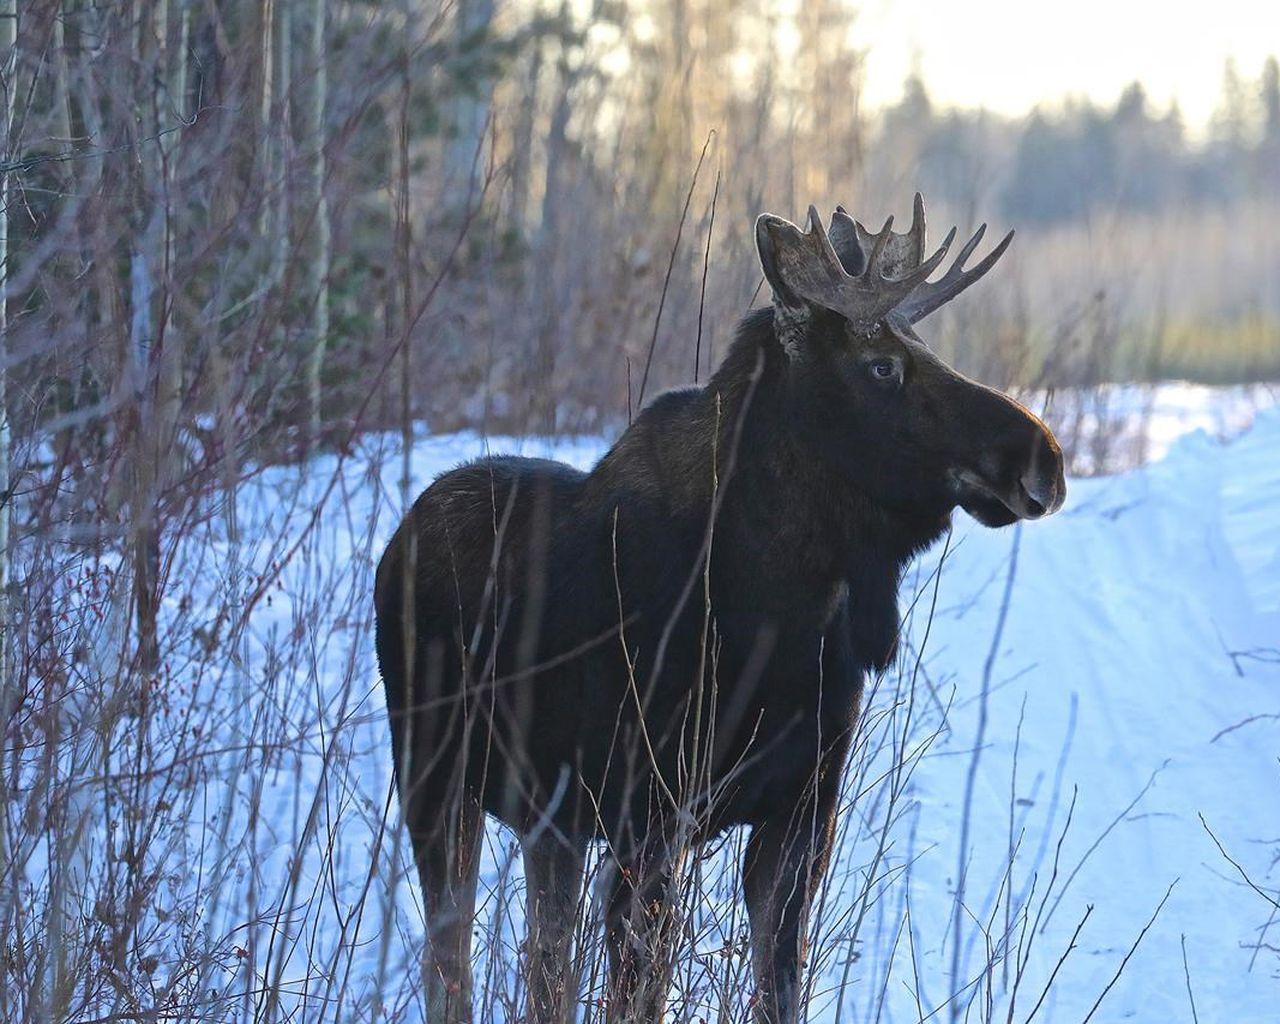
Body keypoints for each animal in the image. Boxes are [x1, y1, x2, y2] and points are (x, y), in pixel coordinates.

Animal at [374, 194, 1065, 1023]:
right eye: (883, 367)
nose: (1043, 457)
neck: (785, 616)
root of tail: (398, 539)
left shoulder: (801, 812)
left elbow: (780, 985)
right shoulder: (650, 818)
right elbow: (639, 993)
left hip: (550, 823)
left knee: (545, 970)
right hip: (436, 776)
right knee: (449, 964)